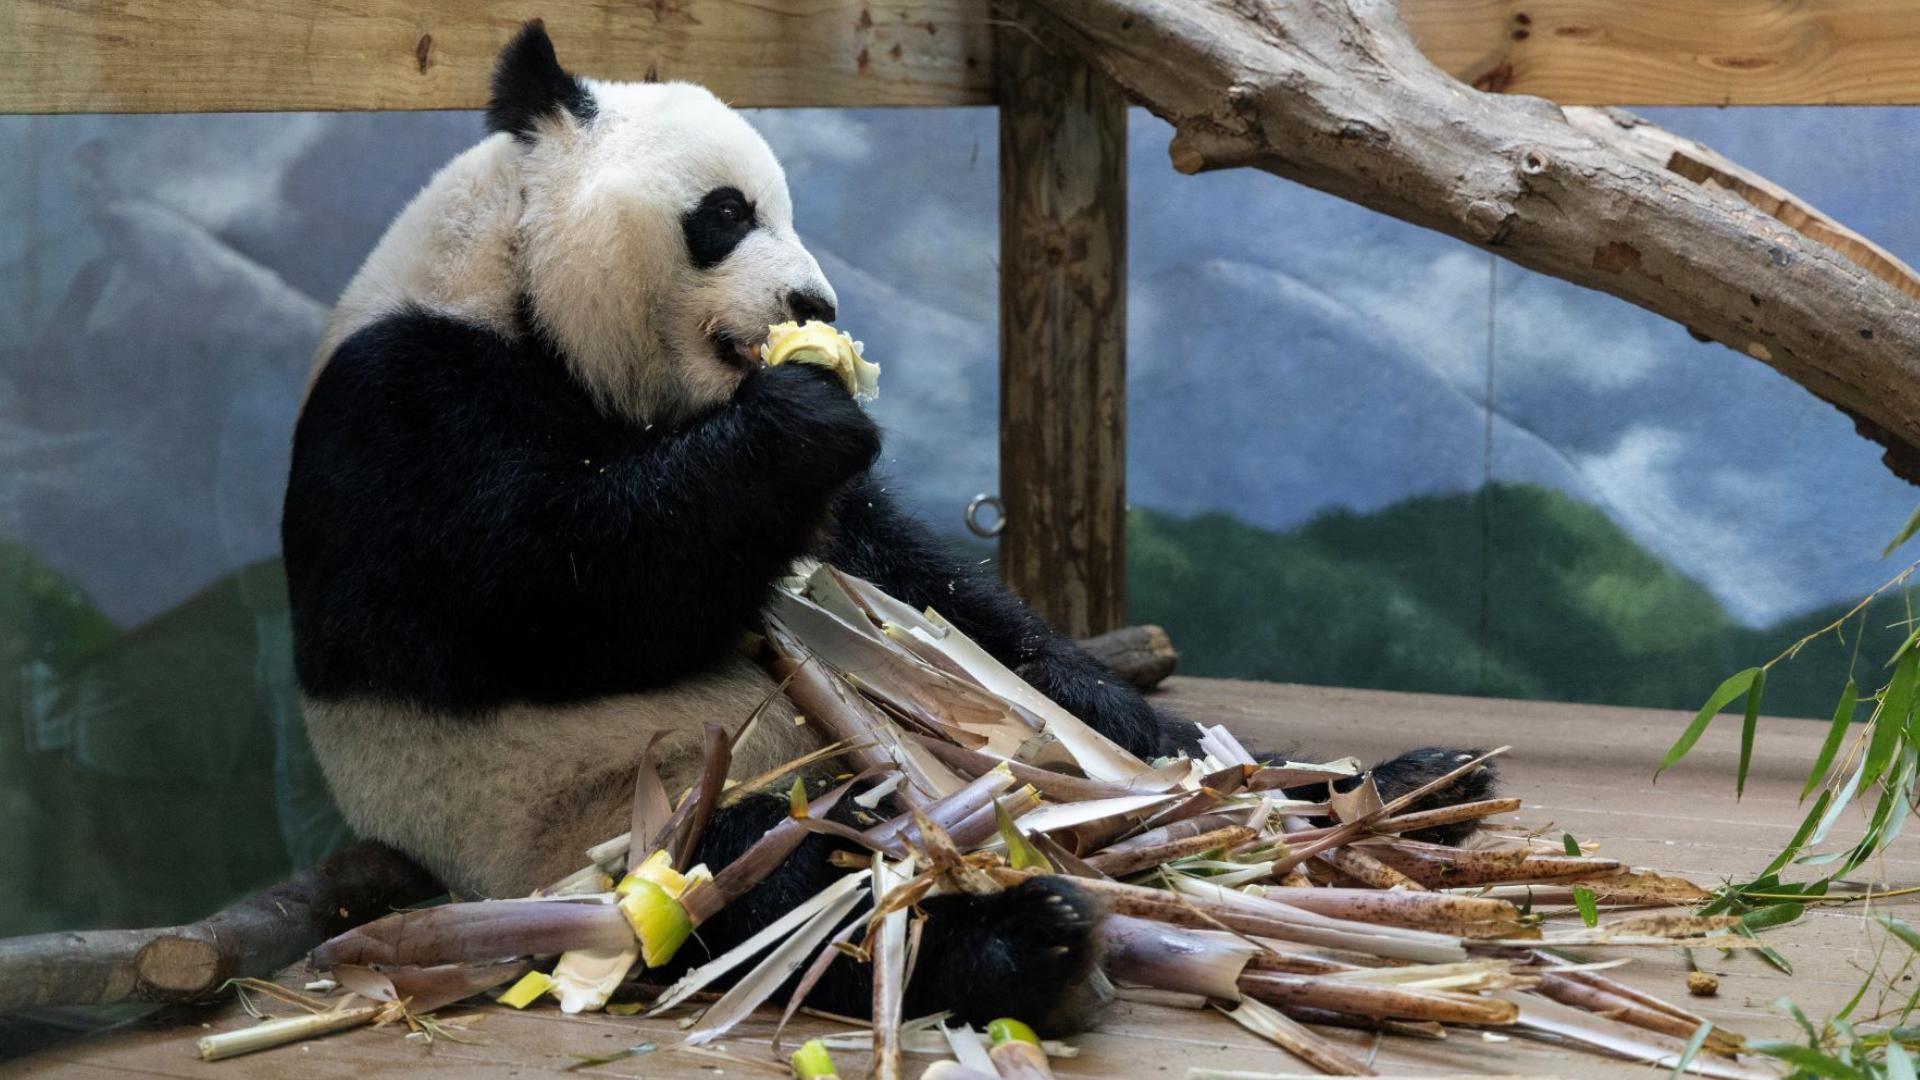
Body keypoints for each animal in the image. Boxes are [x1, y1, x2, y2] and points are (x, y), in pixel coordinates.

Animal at [283, 22, 1494, 1034]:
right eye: (728, 213)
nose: (814, 306)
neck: (516, 280)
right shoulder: (407, 405)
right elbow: (545, 597)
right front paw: (804, 413)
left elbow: (929, 598)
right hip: (606, 813)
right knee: (768, 883)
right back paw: (1025, 939)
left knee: (1140, 752)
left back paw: (1392, 787)